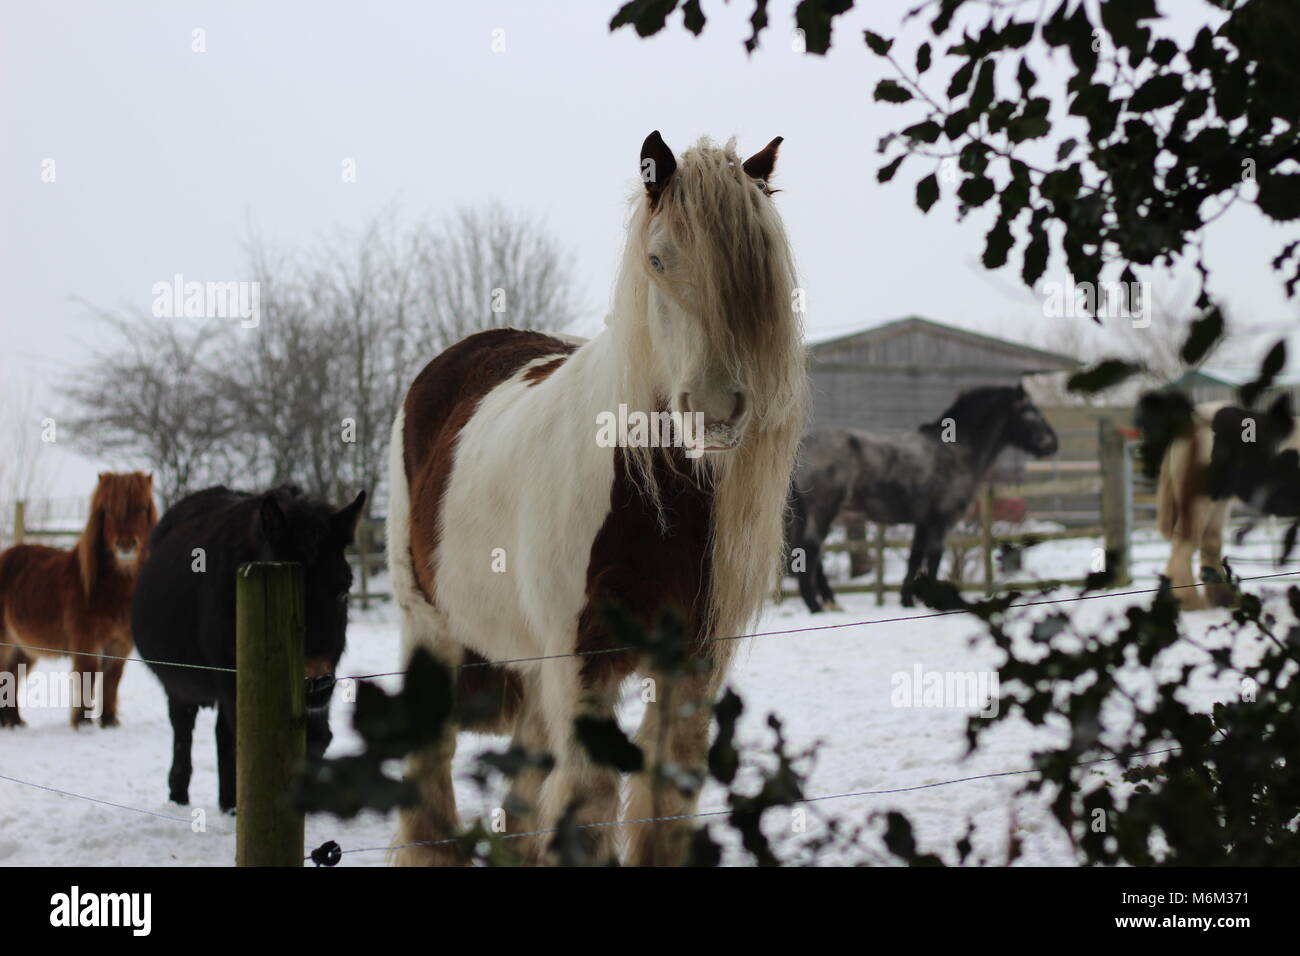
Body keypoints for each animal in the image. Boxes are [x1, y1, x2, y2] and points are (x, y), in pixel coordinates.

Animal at [0, 472, 156, 728]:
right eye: (108, 510)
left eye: (143, 508)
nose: (126, 545)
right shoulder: (86, 642)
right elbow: (87, 677)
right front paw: (83, 723)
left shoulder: (119, 645)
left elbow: (112, 681)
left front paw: (109, 722)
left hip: (23, 647)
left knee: (11, 675)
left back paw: (14, 721)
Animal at [131, 484, 365, 811]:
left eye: (343, 593)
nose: (315, 681)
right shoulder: (231, 677)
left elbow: (317, 738)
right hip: (182, 683)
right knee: (185, 728)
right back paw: (183, 797)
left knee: (222, 734)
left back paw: (228, 802)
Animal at [386, 132, 806, 866]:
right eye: (658, 258)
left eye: (758, 267)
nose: (716, 410)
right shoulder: (583, 663)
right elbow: (588, 806)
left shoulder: (690, 664)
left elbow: (665, 806)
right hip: (429, 626)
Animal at [786, 385, 1059, 611]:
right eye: (1031, 412)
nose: (1053, 444)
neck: (955, 449)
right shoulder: (940, 521)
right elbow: (934, 559)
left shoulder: (923, 522)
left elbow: (915, 558)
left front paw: (907, 600)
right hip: (823, 511)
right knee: (809, 551)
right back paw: (815, 605)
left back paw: (829, 602)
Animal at [1139, 390, 1300, 609]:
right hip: (1201, 499)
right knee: (1185, 543)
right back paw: (1190, 603)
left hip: (1219, 499)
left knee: (1209, 543)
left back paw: (1224, 600)